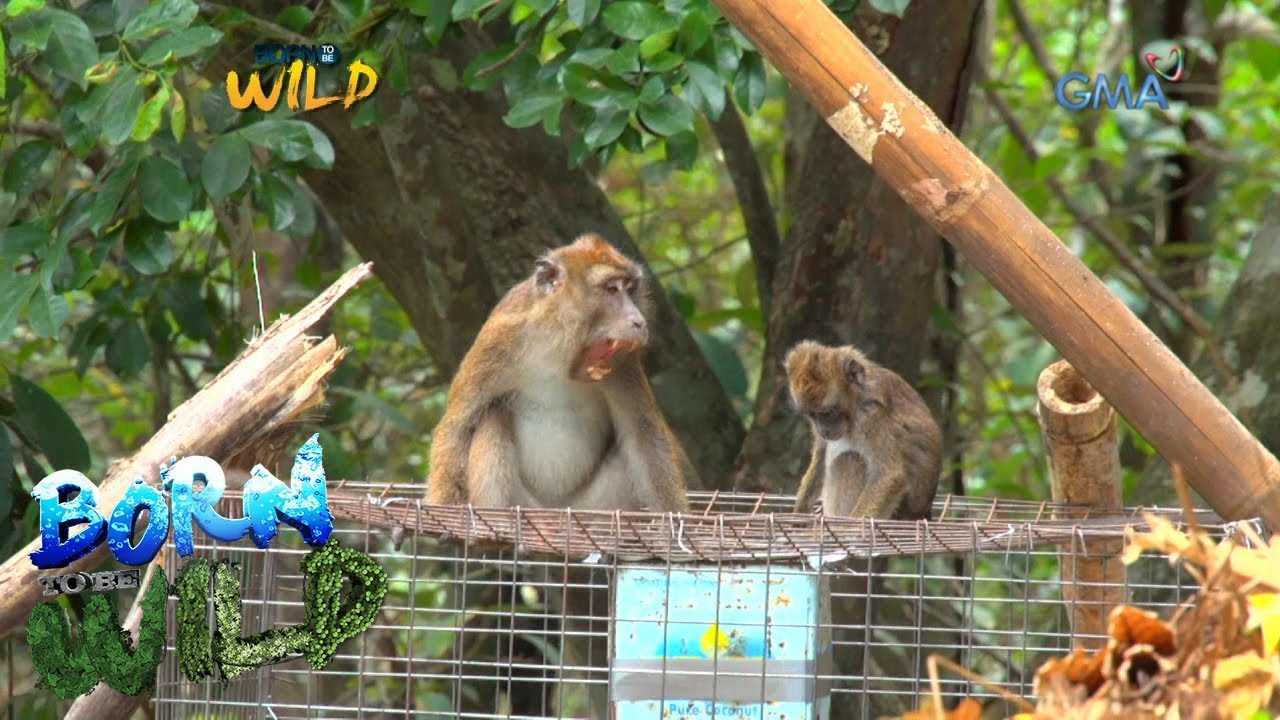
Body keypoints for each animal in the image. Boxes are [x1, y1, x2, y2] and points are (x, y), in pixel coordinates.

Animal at [426, 232, 690, 513]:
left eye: (630, 289)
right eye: (611, 289)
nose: (639, 321)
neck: (559, 349)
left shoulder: (623, 362)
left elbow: (643, 435)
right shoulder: (497, 343)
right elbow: (457, 428)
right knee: (493, 415)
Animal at [785, 340, 942, 522]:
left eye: (828, 412)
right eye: (813, 415)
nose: (824, 430)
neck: (857, 401)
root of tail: (921, 513)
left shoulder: (872, 416)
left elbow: (890, 475)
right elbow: (821, 454)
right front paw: (798, 516)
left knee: (849, 459)